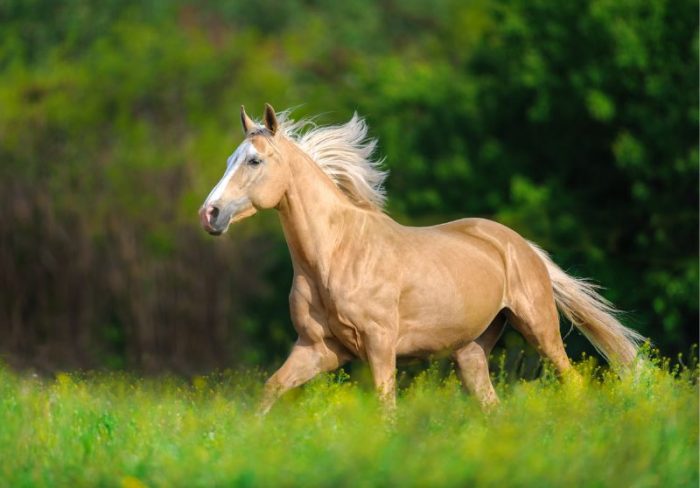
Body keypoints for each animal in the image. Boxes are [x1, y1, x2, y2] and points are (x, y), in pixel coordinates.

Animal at [199, 103, 644, 413]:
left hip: (539, 327)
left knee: (572, 382)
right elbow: (270, 390)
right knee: (492, 406)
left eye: (254, 160)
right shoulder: (318, 349)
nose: (210, 213)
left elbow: (386, 409)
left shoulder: (380, 345)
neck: (335, 256)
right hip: (471, 351)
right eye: (229, 160)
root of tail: (519, 245)